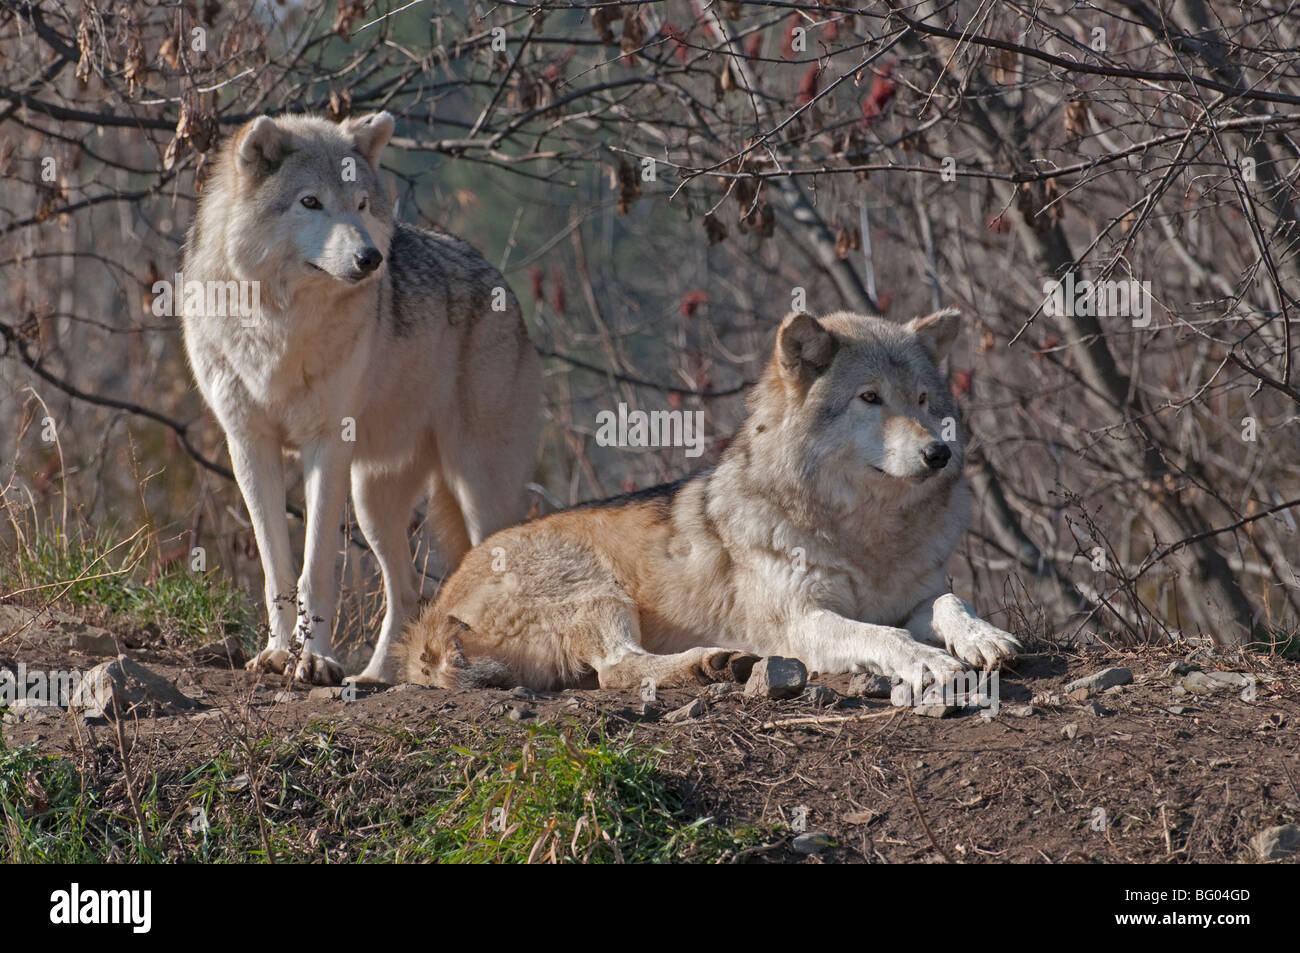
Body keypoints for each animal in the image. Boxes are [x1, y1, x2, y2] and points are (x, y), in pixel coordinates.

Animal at [181, 112, 541, 685]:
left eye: (363, 205)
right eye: (310, 202)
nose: (370, 258)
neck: (279, 324)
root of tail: (497, 278)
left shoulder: (326, 445)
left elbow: (315, 572)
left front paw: (315, 660)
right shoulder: (249, 445)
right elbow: (277, 570)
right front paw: (278, 654)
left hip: (476, 488)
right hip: (373, 501)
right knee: (408, 591)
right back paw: (375, 677)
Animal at [400, 307, 1020, 696]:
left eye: (922, 400)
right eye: (870, 398)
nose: (938, 452)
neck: (864, 535)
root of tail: (429, 618)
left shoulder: (915, 595)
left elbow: (949, 602)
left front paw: (983, 637)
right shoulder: (800, 622)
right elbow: (882, 635)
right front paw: (928, 661)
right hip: (598, 591)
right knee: (616, 670)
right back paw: (711, 663)